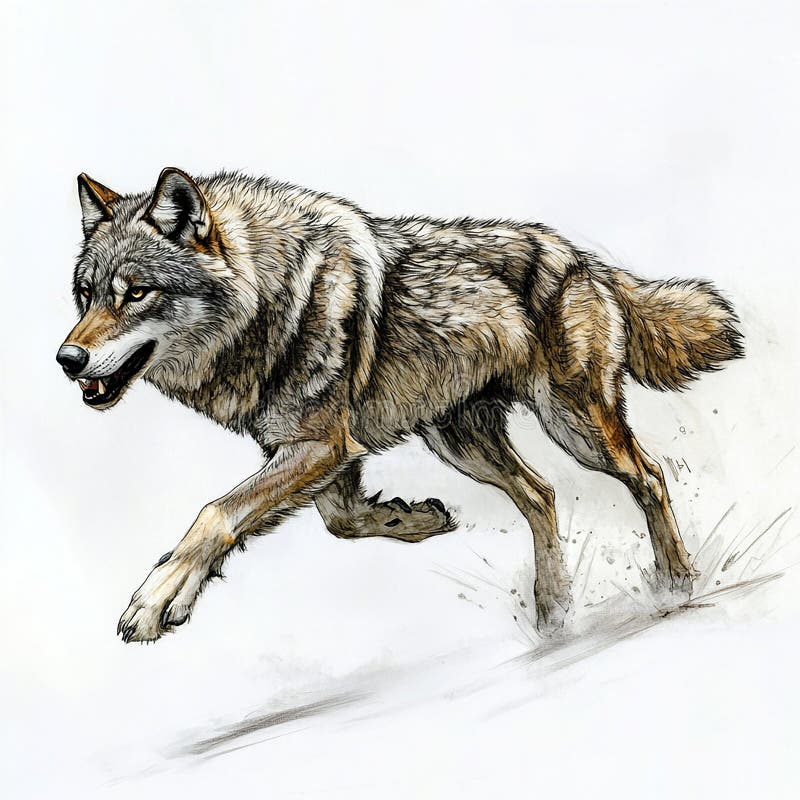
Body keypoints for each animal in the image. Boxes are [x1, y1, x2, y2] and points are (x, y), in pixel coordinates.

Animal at [58, 168, 743, 643]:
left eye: (135, 293)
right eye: (85, 295)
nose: (67, 359)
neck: (271, 299)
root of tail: (585, 258)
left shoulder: (321, 445)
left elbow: (215, 514)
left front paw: (154, 602)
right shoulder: (322, 452)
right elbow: (342, 520)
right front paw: (417, 519)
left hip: (575, 426)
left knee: (648, 476)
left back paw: (675, 586)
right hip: (461, 443)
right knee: (541, 495)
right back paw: (554, 614)